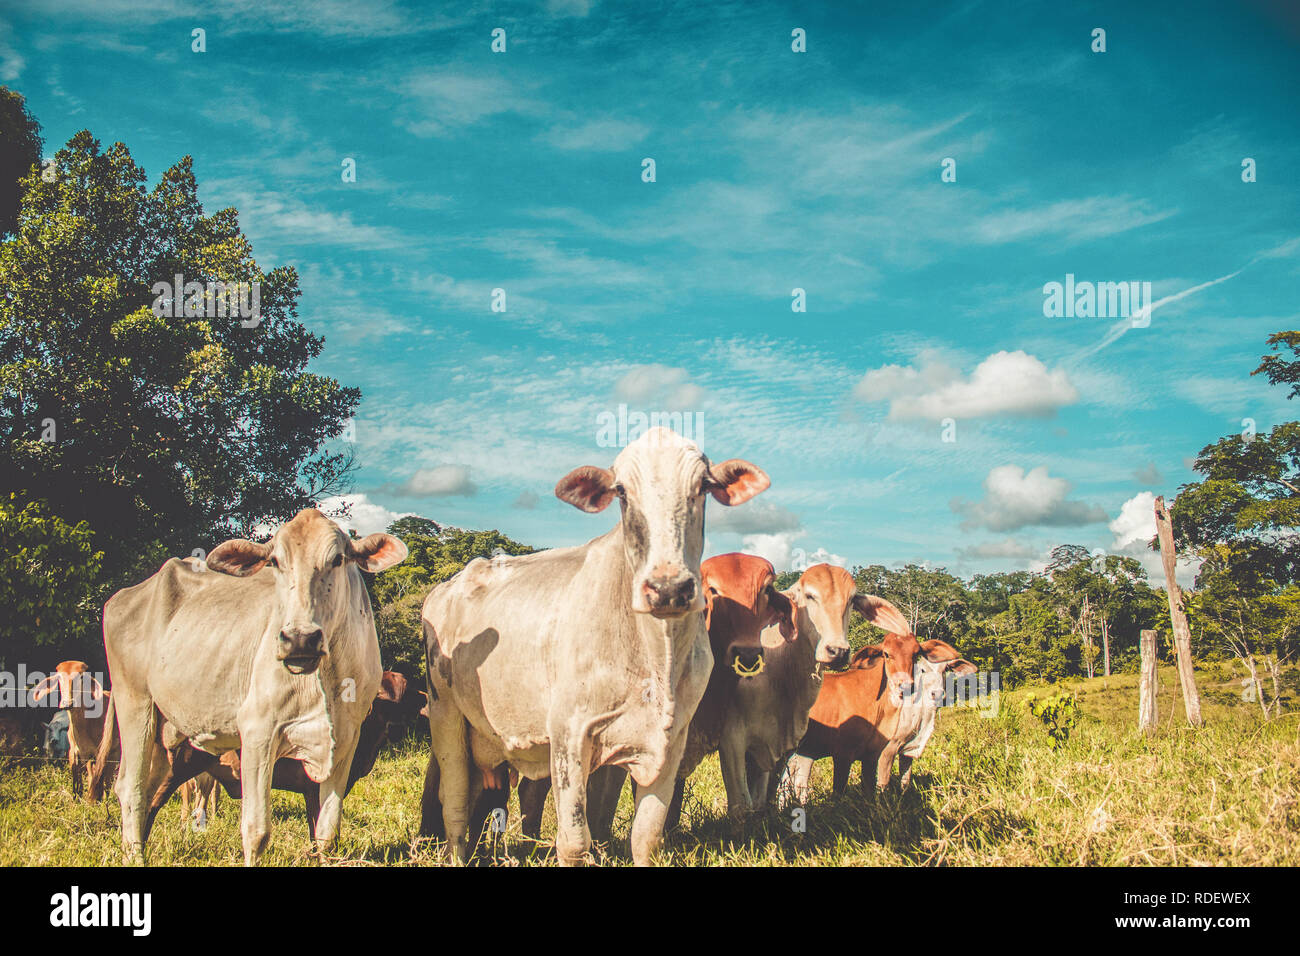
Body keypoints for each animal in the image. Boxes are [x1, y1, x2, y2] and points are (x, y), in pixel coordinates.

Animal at [30, 661, 114, 799]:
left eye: (81, 676)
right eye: (59, 677)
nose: (67, 703)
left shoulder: (99, 753)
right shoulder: (73, 753)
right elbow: (77, 783)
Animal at [96, 508, 407, 865]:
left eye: (338, 559)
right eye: (275, 561)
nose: (299, 638)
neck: (326, 681)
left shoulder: (344, 740)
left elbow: (327, 833)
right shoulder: (259, 731)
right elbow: (257, 831)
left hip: (166, 730)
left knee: (150, 788)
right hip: (135, 701)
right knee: (130, 789)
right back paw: (135, 855)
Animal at [419, 427, 769, 866]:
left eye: (703, 486)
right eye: (621, 492)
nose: (668, 588)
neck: (657, 658)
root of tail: (447, 585)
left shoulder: (670, 742)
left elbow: (647, 836)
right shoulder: (568, 734)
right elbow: (573, 840)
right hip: (445, 717)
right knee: (454, 807)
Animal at [783, 632, 976, 802]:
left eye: (916, 654)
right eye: (887, 654)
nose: (937, 693)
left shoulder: (880, 754)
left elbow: (893, 785)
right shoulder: (850, 754)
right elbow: (876, 786)